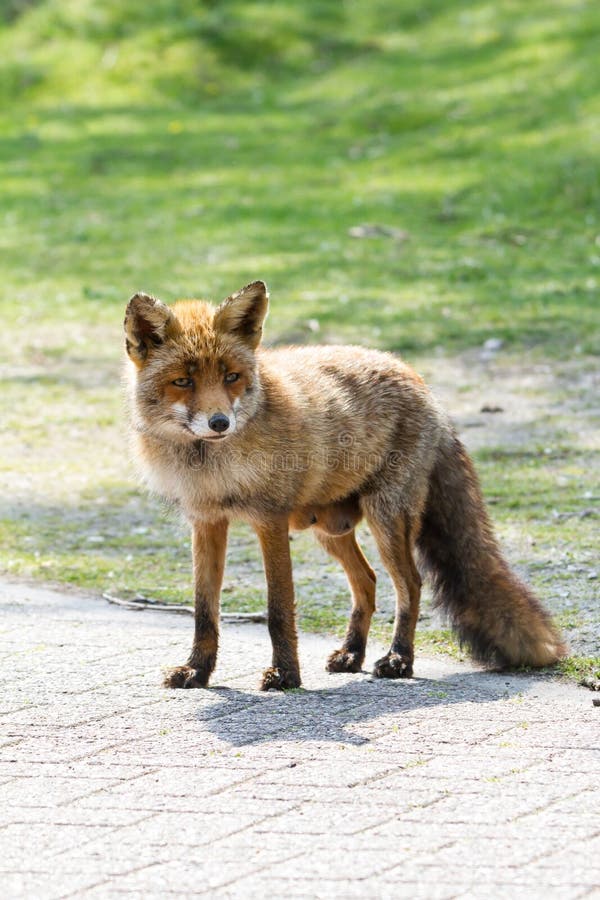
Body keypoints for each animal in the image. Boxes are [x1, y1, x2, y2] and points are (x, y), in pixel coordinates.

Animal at [124, 280, 566, 690]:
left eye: (232, 377)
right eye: (183, 382)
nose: (219, 423)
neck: (210, 466)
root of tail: (417, 378)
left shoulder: (270, 519)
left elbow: (278, 608)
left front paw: (285, 675)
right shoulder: (206, 521)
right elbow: (204, 611)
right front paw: (197, 670)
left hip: (386, 519)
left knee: (410, 584)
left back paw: (399, 660)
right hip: (329, 529)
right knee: (367, 581)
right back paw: (353, 653)